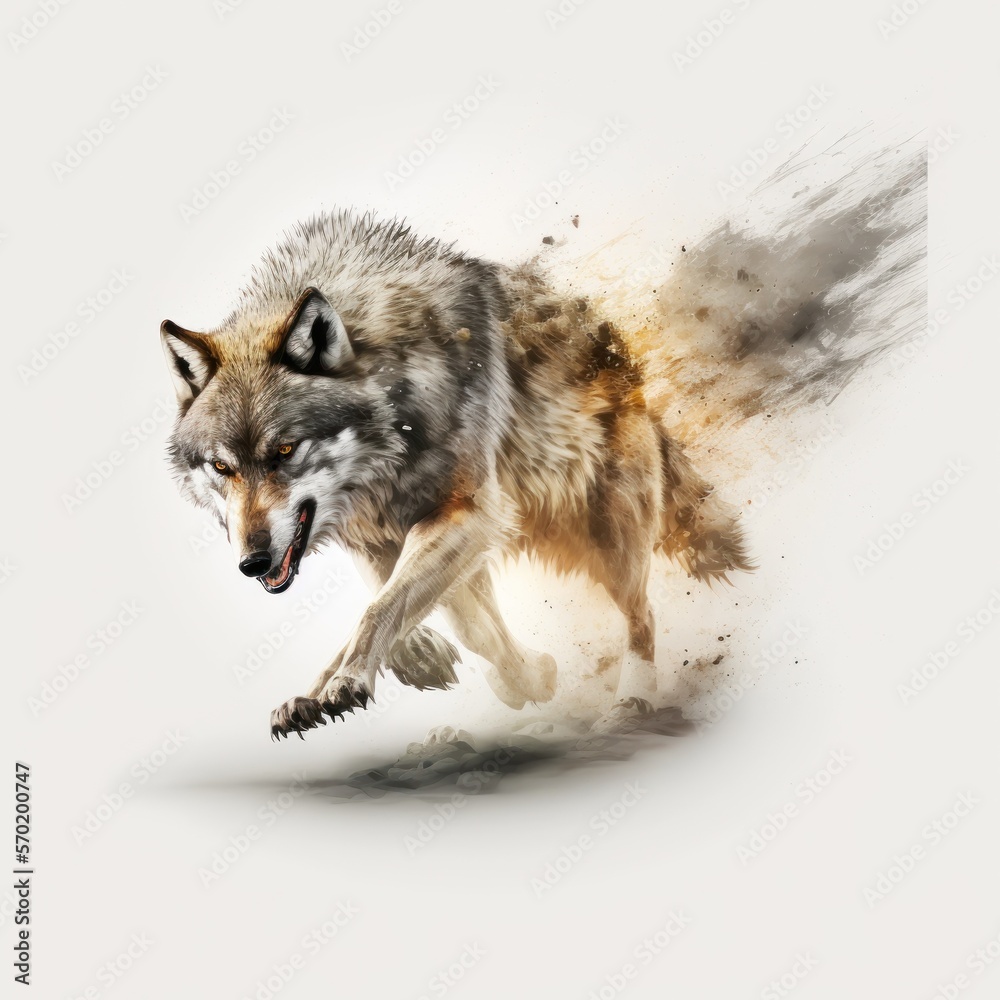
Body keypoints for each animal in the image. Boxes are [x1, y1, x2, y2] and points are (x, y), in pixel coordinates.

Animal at [161, 210, 755, 738]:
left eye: (285, 450)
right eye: (222, 467)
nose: (252, 562)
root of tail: (628, 369)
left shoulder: (466, 513)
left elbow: (383, 608)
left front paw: (351, 679)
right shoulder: (381, 542)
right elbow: (455, 624)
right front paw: (519, 676)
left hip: (610, 531)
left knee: (642, 617)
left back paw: (632, 702)